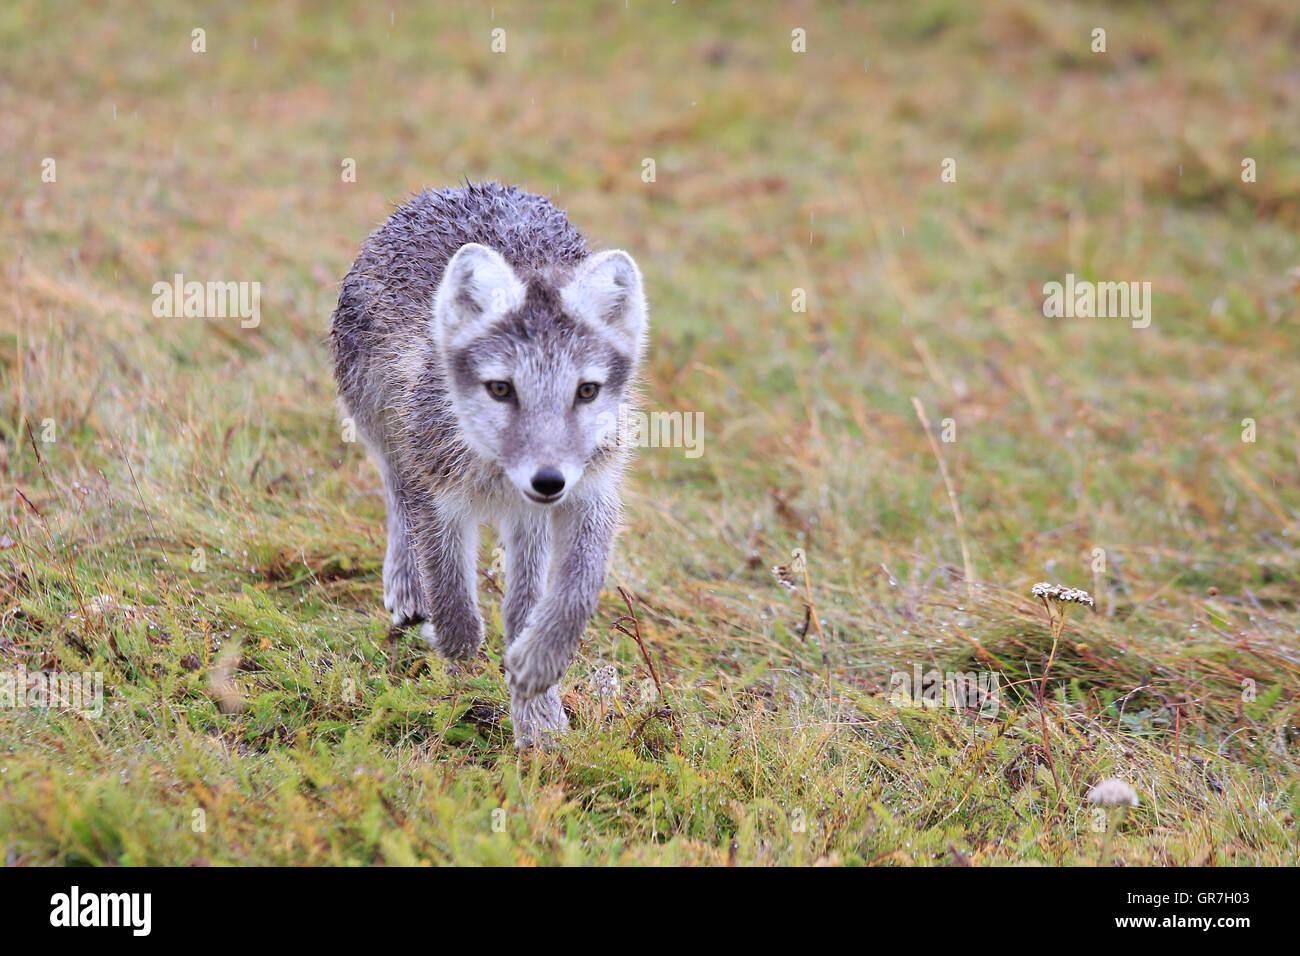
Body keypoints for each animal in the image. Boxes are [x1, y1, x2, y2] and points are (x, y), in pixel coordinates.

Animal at [330, 181, 648, 748]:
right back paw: (408, 591)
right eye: (501, 388)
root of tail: (455, 187)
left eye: (587, 391)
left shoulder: (592, 490)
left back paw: (537, 716)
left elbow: (577, 591)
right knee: (396, 493)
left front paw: (537, 671)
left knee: (524, 593)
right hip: (377, 420)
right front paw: (451, 636)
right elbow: (449, 584)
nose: (547, 480)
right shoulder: (436, 481)